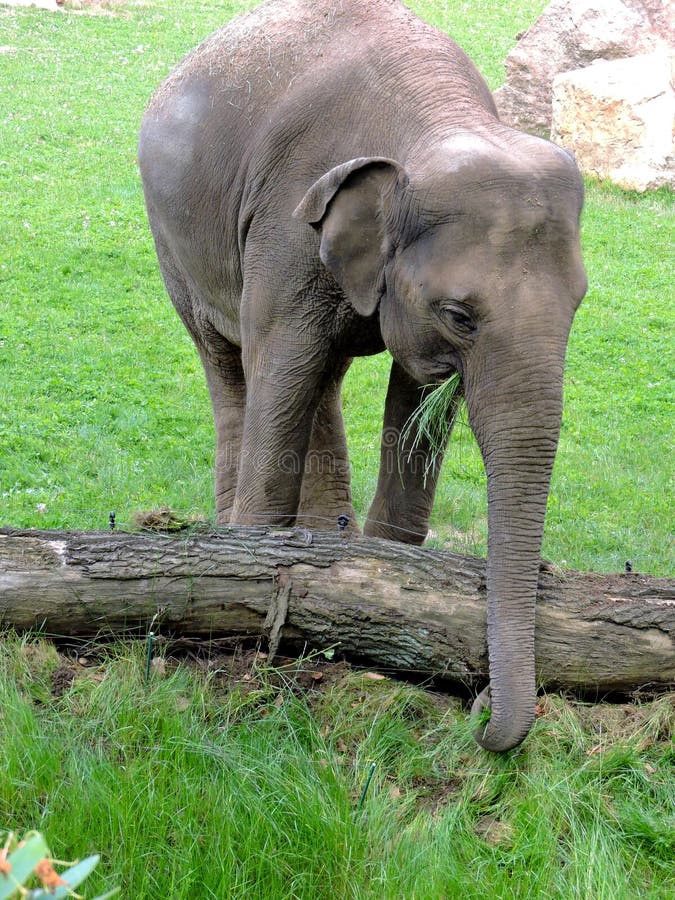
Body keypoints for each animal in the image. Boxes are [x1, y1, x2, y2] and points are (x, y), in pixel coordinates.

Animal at [138, 0, 587, 752]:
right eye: (460, 315)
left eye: (580, 301)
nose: (479, 709)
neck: (437, 122)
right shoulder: (286, 225)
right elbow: (279, 359)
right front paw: (252, 583)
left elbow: (415, 399)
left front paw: (386, 579)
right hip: (173, 238)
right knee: (232, 364)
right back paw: (234, 533)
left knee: (321, 375)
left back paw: (328, 541)